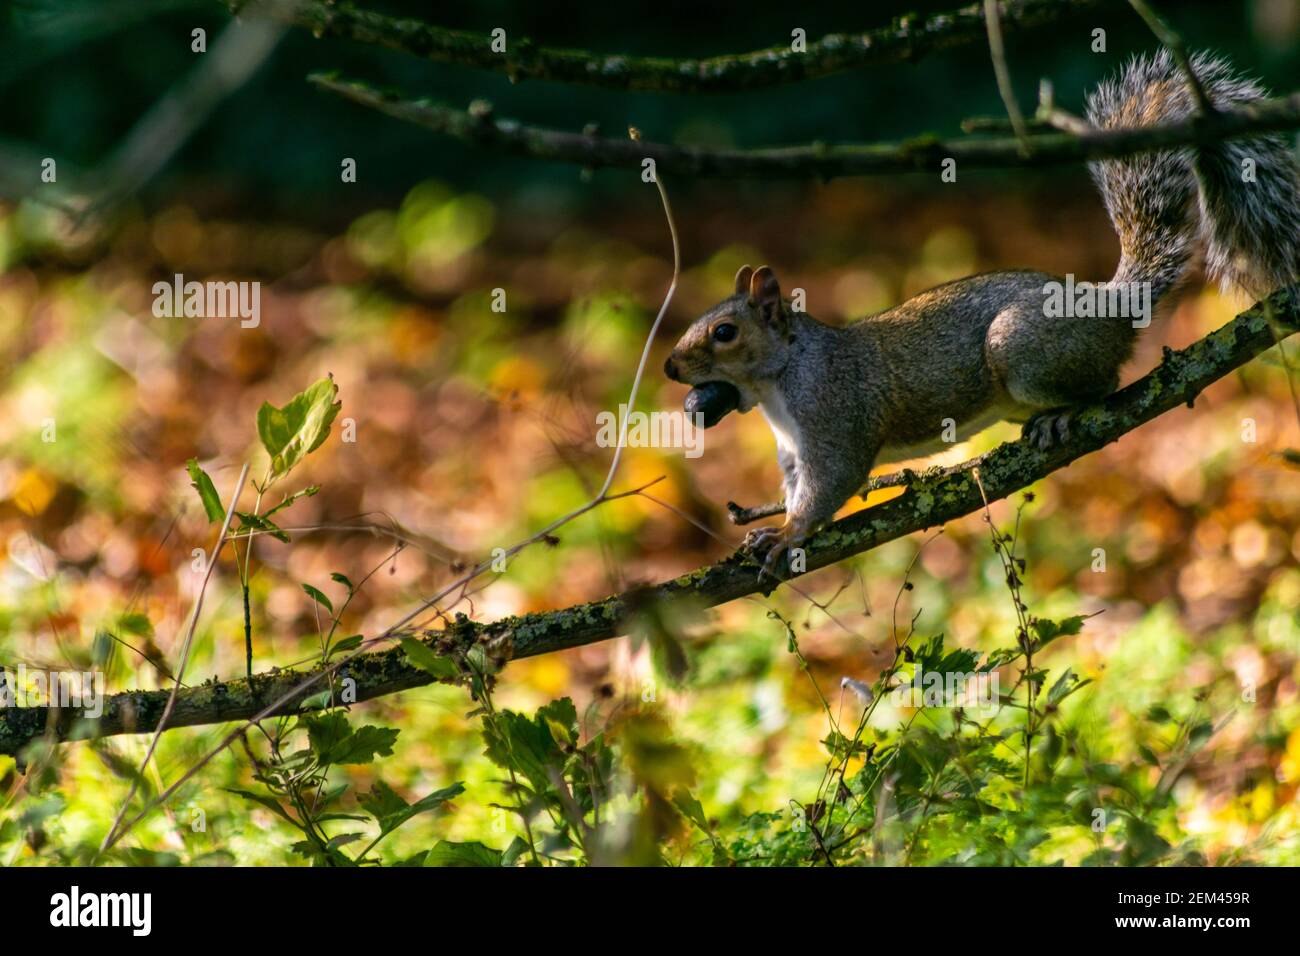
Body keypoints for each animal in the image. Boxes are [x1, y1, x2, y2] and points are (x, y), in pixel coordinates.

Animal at [663, 51, 1300, 579]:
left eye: (724, 332)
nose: (670, 369)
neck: (779, 382)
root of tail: (1111, 306)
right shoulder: (792, 452)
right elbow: (798, 487)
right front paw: (770, 530)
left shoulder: (833, 416)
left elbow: (831, 483)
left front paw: (788, 534)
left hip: (1020, 348)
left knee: (1101, 386)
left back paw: (1063, 415)